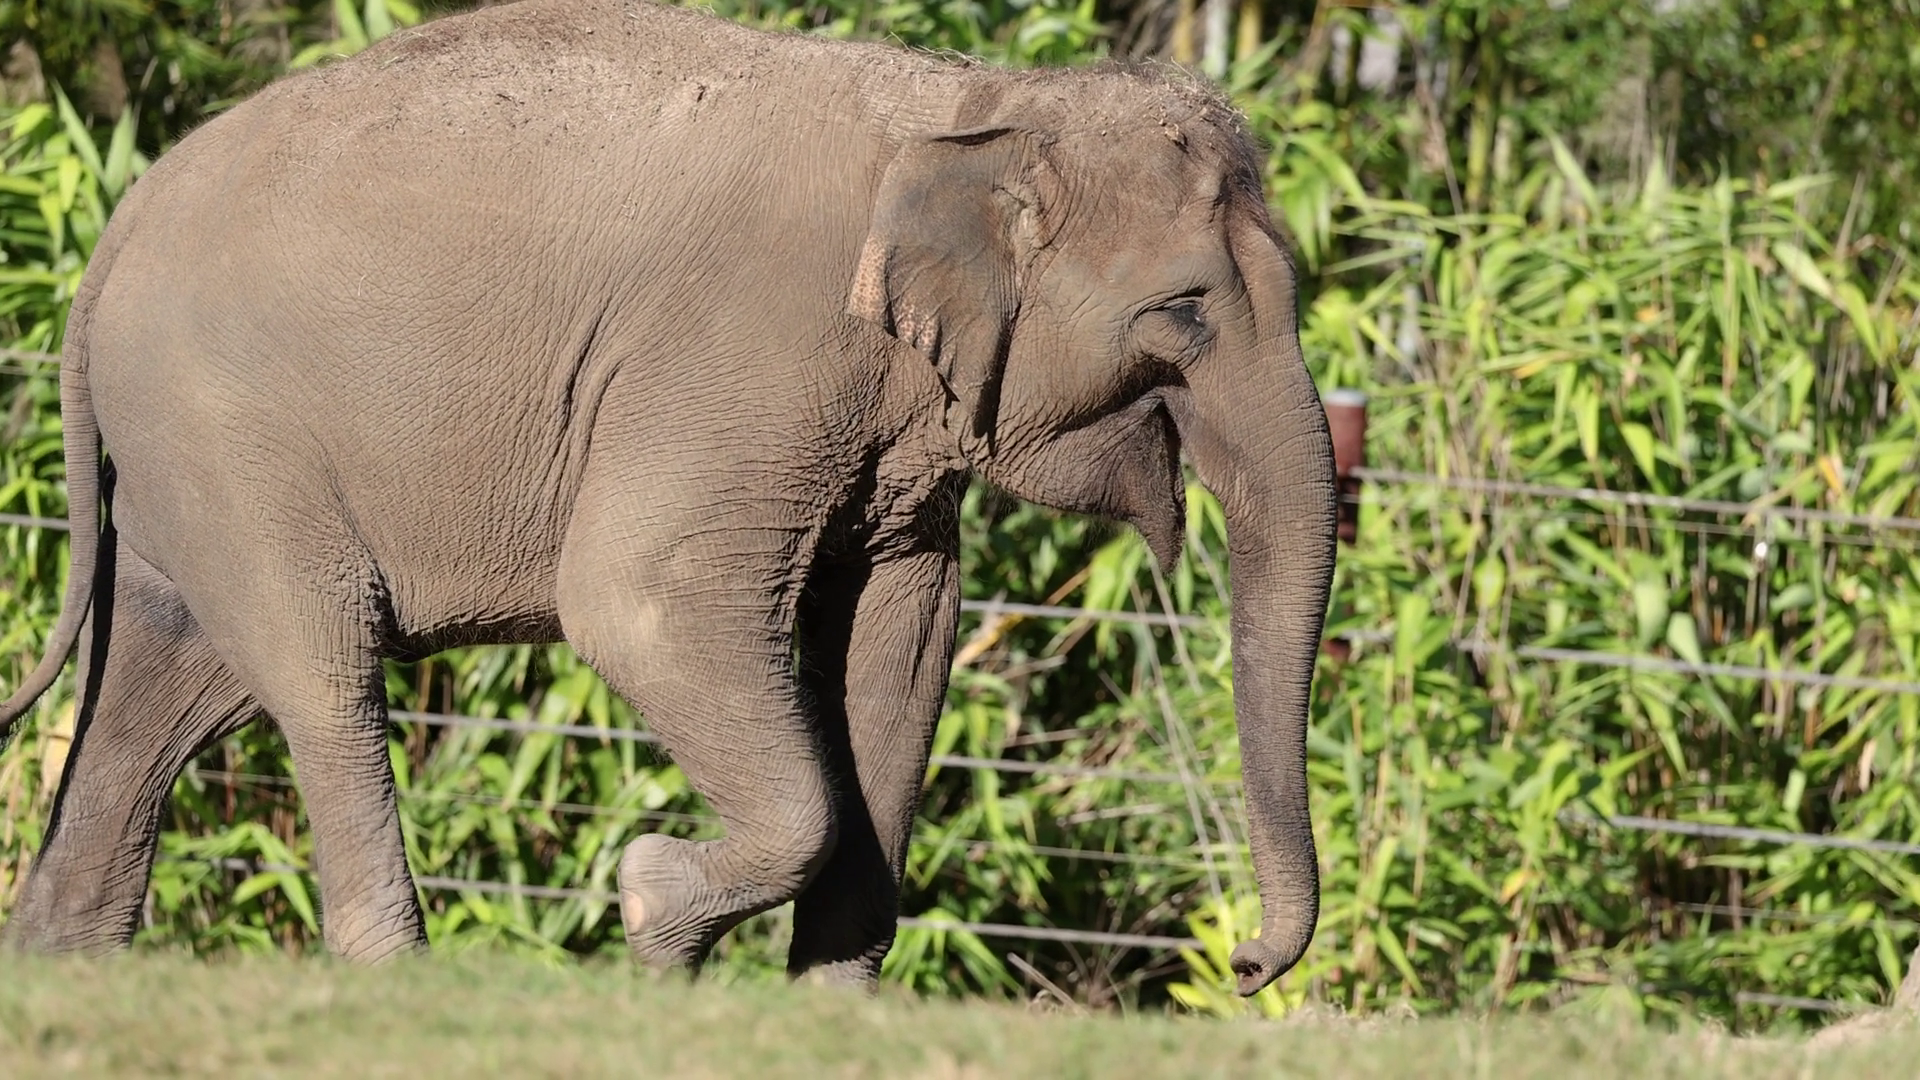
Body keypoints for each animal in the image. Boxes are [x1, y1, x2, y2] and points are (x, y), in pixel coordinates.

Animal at [0, 0, 1337, 996]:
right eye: (1186, 309)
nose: (1245, 962)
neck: (971, 109)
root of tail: (112, 236)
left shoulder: (891, 425)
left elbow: (903, 646)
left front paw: (829, 1013)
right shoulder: (744, 353)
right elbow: (636, 604)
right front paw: (649, 909)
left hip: (183, 476)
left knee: (157, 691)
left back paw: (63, 963)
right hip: (231, 440)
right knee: (325, 674)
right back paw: (397, 984)